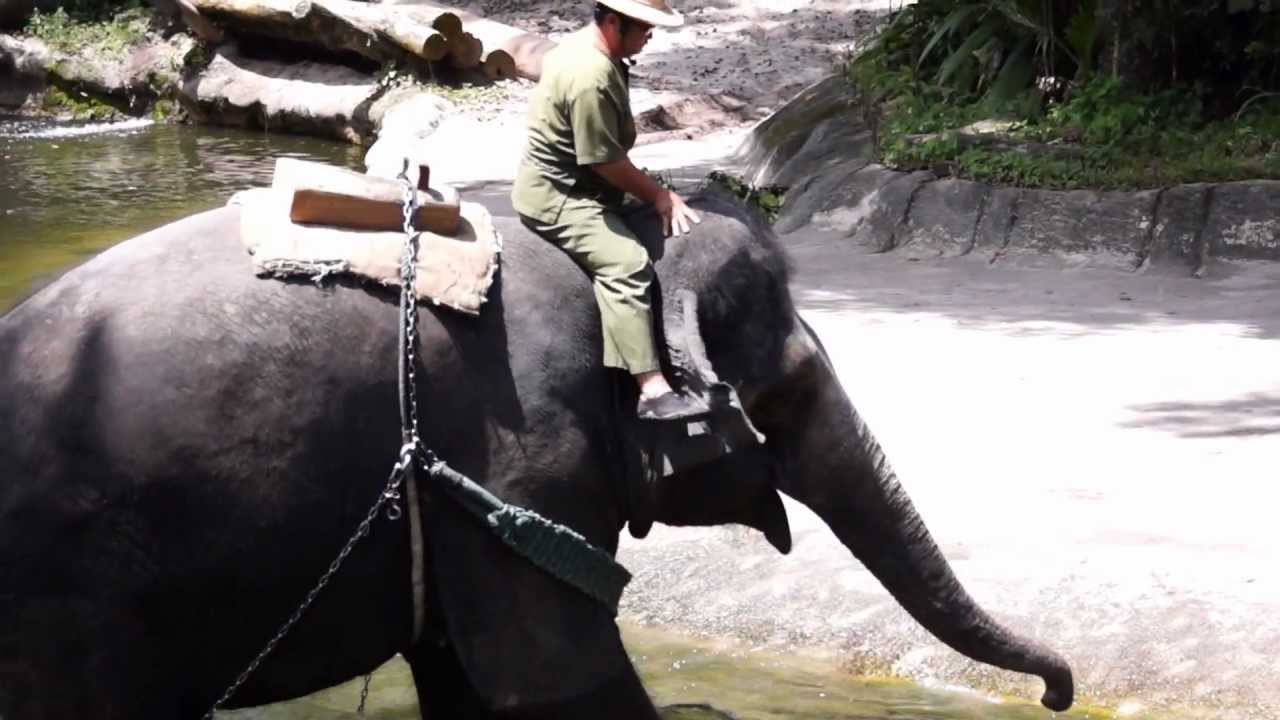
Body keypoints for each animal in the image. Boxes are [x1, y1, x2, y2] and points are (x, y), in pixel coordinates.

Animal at [0, 189, 1074, 719]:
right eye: (788, 395)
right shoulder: (521, 445)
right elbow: (556, 678)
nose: (1059, 695)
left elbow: (467, 683)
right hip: (71, 604)